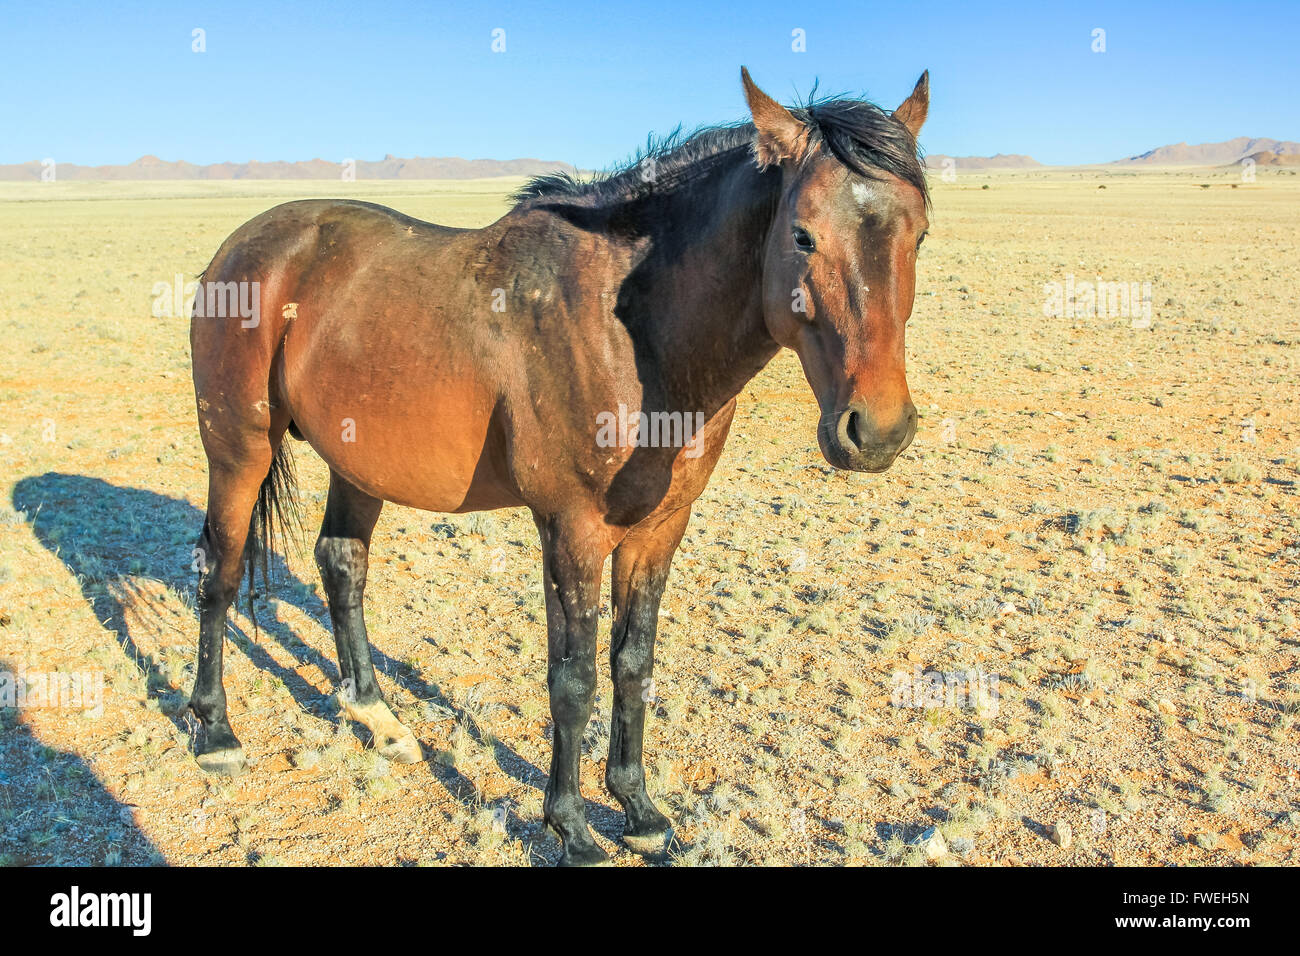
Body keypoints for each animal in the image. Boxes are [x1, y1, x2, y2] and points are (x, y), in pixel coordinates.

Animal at [187, 66, 931, 865]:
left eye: (920, 234)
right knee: (218, 572)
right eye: (803, 235)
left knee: (341, 563)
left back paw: (379, 720)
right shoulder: (571, 529)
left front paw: (638, 807)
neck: (630, 330)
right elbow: (572, 680)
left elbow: (632, 666)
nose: (877, 430)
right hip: (238, 450)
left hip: (357, 462)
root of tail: (246, 244)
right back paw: (215, 731)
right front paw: (571, 825)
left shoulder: (658, 530)